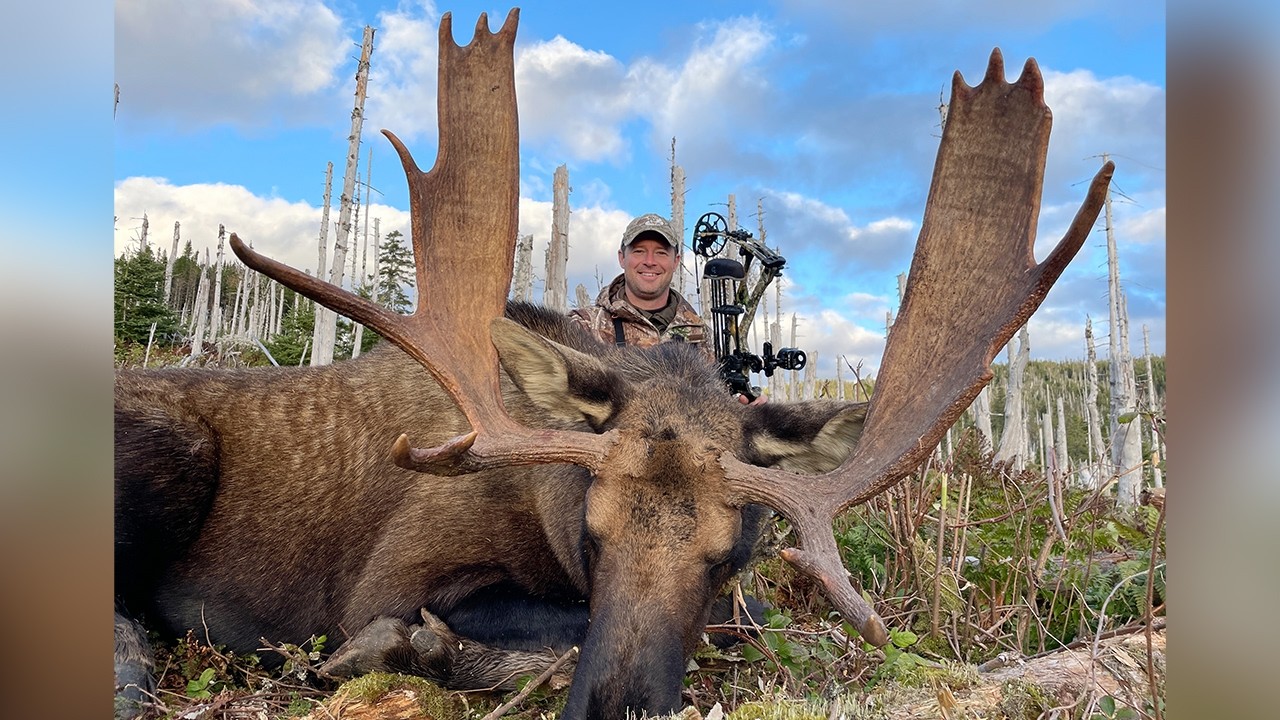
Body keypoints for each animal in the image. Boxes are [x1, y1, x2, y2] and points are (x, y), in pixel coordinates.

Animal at [113, 8, 1113, 720]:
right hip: (169, 449)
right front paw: (403, 649)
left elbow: (738, 623)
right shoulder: (392, 575)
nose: (613, 707)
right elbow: (541, 624)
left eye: (727, 554)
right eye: (589, 530)